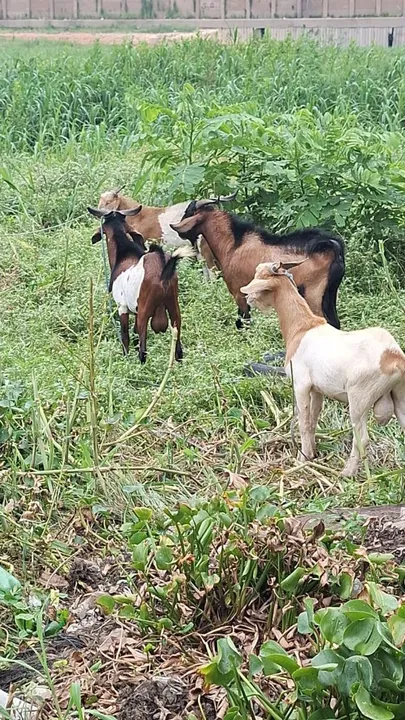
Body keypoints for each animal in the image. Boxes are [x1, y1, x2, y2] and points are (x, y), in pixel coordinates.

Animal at [88, 205, 194, 363]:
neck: (125, 254)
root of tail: (163, 271)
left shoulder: (122, 307)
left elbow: (125, 337)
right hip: (174, 308)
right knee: (178, 350)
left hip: (145, 311)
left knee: (143, 351)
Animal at [170, 200, 345, 331]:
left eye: (189, 212)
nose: (179, 231)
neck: (233, 245)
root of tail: (333, 246)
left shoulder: (238, 292)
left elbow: (244, 322)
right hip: (330, 294)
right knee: (335, 321)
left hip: (314, 293)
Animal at [241, 261, 405, 477]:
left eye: (259, 275)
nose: (247, 298)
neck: (301, 327)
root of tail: (393, 356)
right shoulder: (317, 389)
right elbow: (312, 420)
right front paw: (312, 453)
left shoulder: (301, 384)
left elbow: (303, 421)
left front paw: (302, 459)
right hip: (400, 395)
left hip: (359, 398)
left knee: (361, 438)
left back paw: (347, 473)